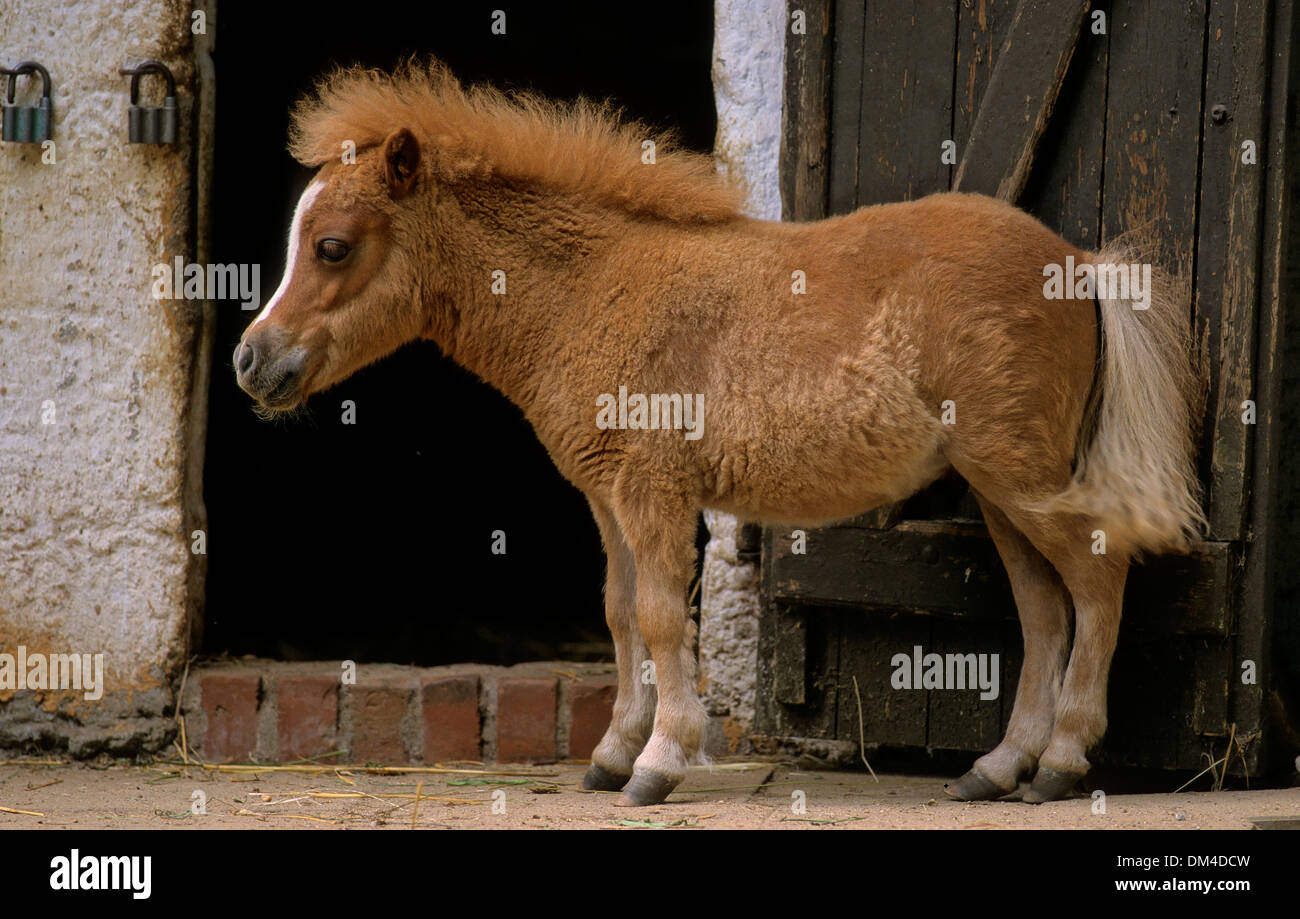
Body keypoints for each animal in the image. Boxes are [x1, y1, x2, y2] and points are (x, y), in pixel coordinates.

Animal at [234, 60, 1206, 806]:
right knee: (1044, 610)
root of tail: (1079, 263)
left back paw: (1063, 762)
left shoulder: (653, 486)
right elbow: (620, 611)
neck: (592, 290)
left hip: (1022, 472)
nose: (251, 359)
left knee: (1098, 581)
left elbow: (665, 617)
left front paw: (659, 762)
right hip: (1001, 486)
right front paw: (611, 753)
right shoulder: (606, 492)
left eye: (331, 245)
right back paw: (998, 769)